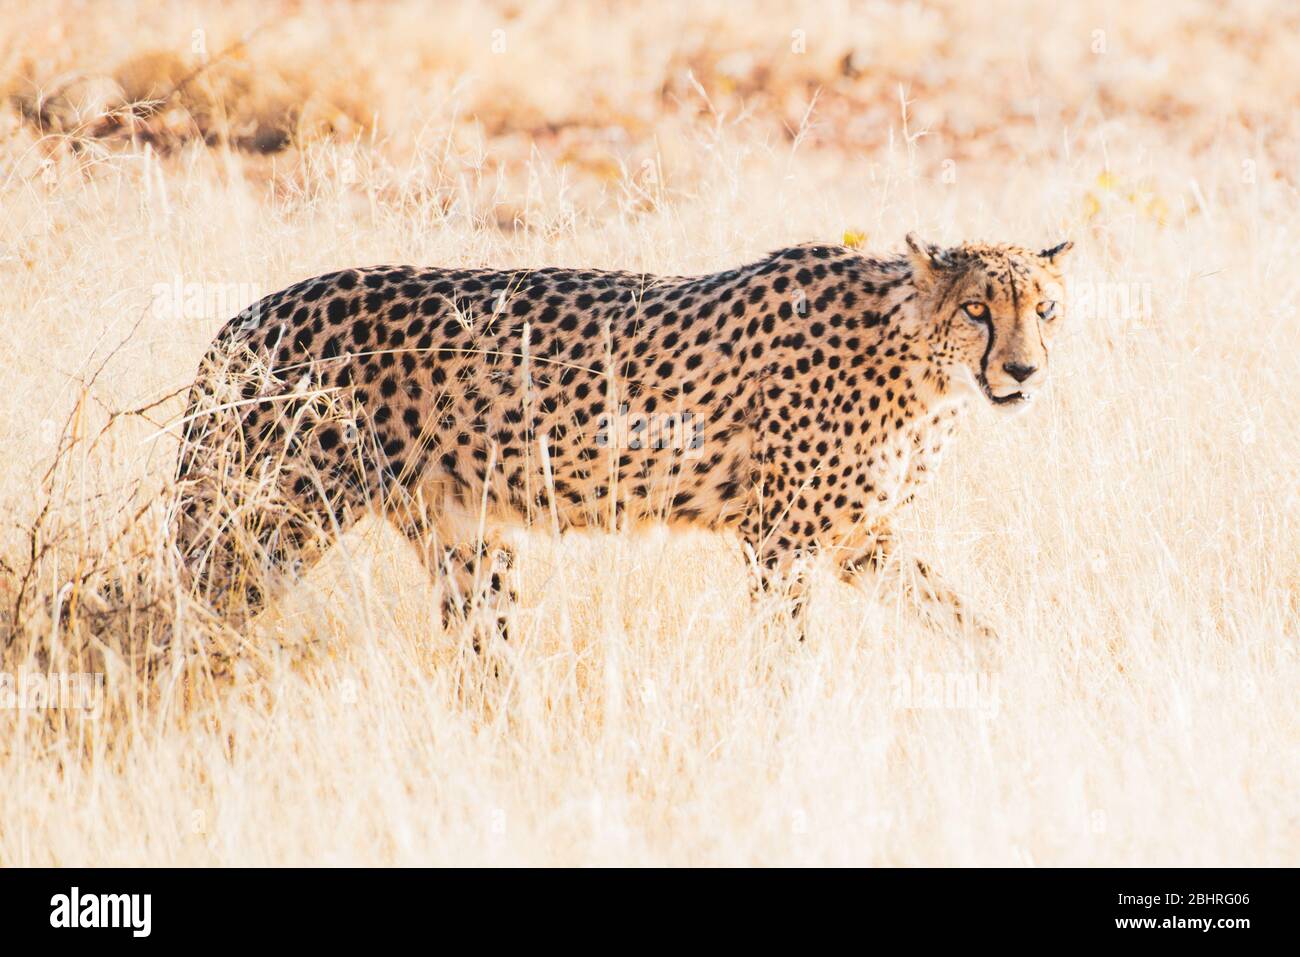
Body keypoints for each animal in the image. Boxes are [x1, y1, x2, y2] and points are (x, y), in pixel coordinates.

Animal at [174, 234, 1071, 638]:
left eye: (1047, 308)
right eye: (978, 309)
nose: (1023, 370)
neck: (919, 364)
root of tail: (253, 311)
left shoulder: (859, 537)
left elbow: (957, 611)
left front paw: (1015, 670)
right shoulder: (778, 539)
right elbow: (785, 651)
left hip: (465, 535)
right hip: (272, 524)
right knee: (184, 618)